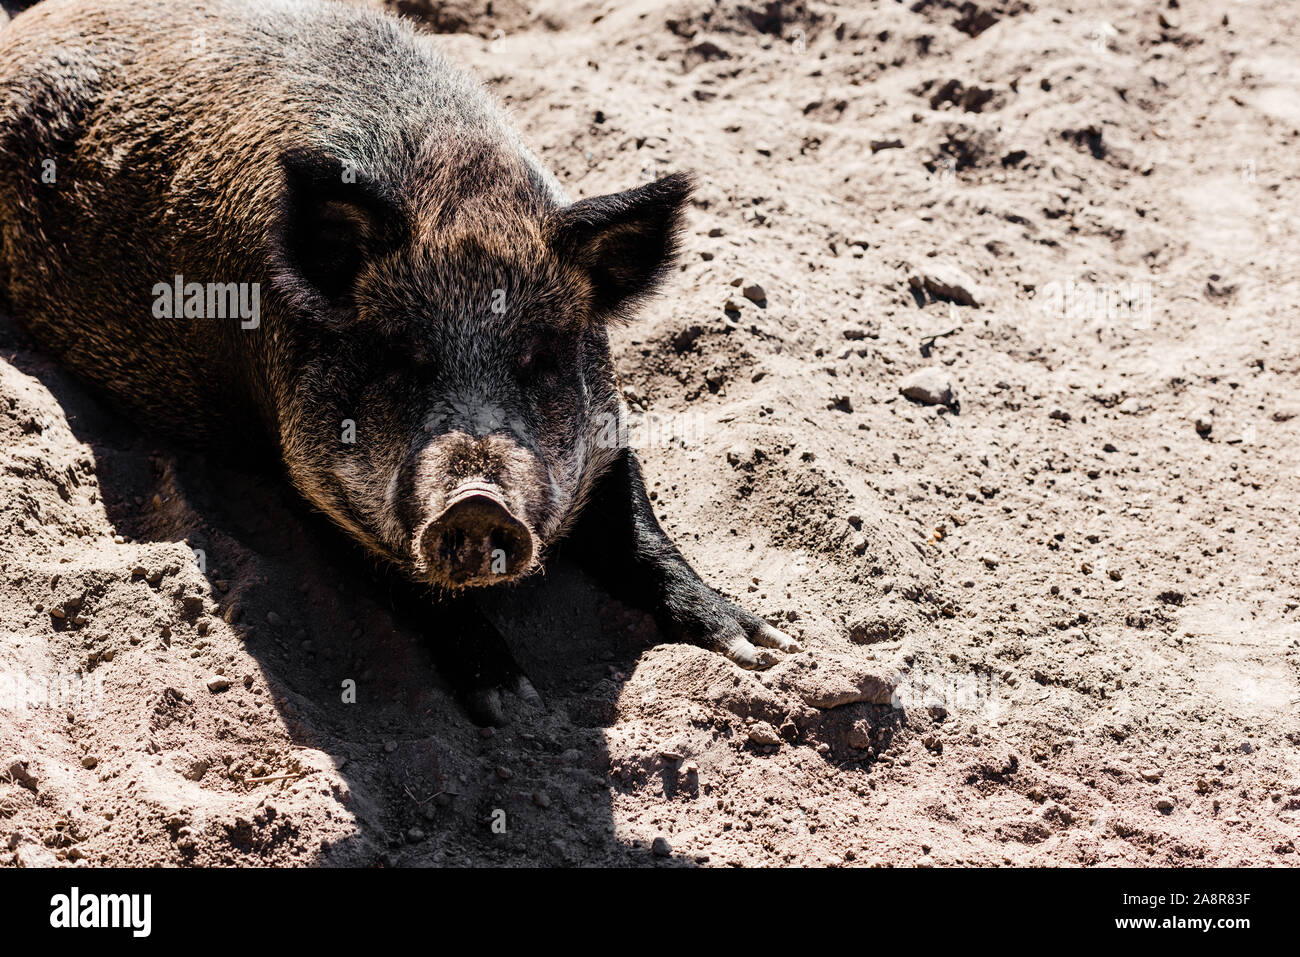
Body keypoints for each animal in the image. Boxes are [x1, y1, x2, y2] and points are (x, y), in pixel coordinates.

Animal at [0, 0, 800, 724]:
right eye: (401, 356)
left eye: (541, 356)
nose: (477, 499)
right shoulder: (309, 478)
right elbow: (412, 583)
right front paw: (515, 705)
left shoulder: (608, 427)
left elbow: (638, 531)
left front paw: (765, 648)